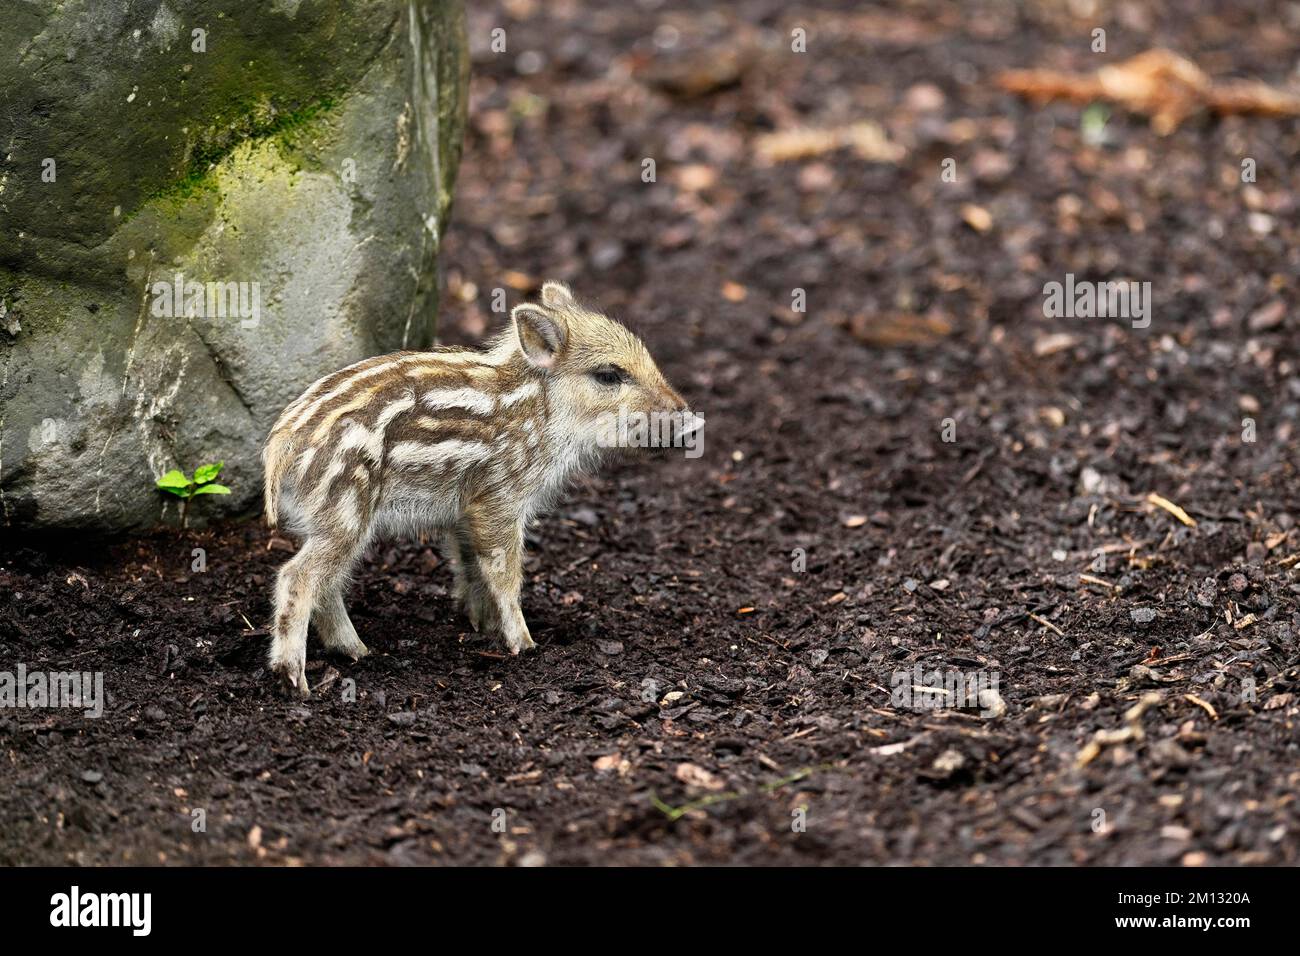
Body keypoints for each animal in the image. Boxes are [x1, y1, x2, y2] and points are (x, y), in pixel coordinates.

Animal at [261, 281, 703, 696]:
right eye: (609, 375)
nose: (692, 421)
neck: (540, 412)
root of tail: (281, 446)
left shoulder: (463, 512)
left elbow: (470, 564)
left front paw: (481, 626)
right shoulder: (499, 500)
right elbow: (504, 572)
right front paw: (524, 645)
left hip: (333, 521)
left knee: (328, 582)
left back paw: (358, 652)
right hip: (345, 513)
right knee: (297, 576)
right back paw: (295, 678)